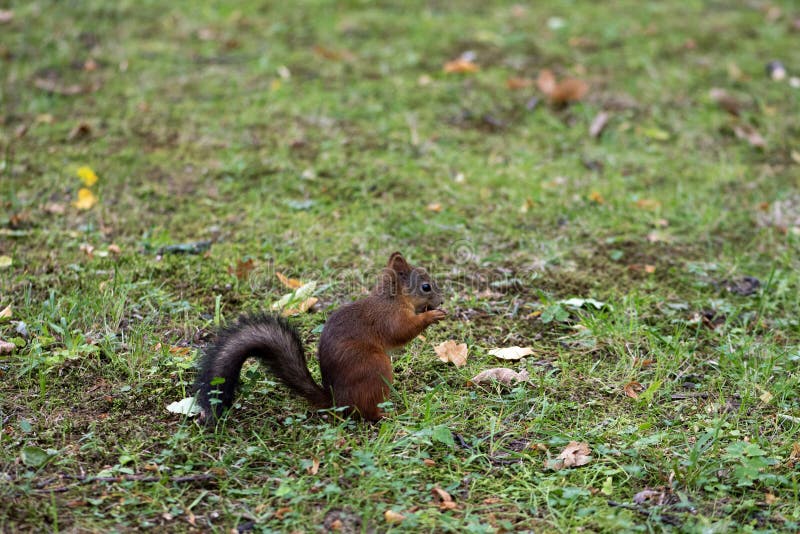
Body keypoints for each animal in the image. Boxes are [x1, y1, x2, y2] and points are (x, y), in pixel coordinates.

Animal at [195, 252, 446, 423]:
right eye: (426, 287)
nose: (441, 301)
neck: (392, 299)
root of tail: (337, 402)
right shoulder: (388, 318)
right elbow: (402, 331)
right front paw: (432, 316)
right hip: (376, 368)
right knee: (365, 412)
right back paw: (385, 415)